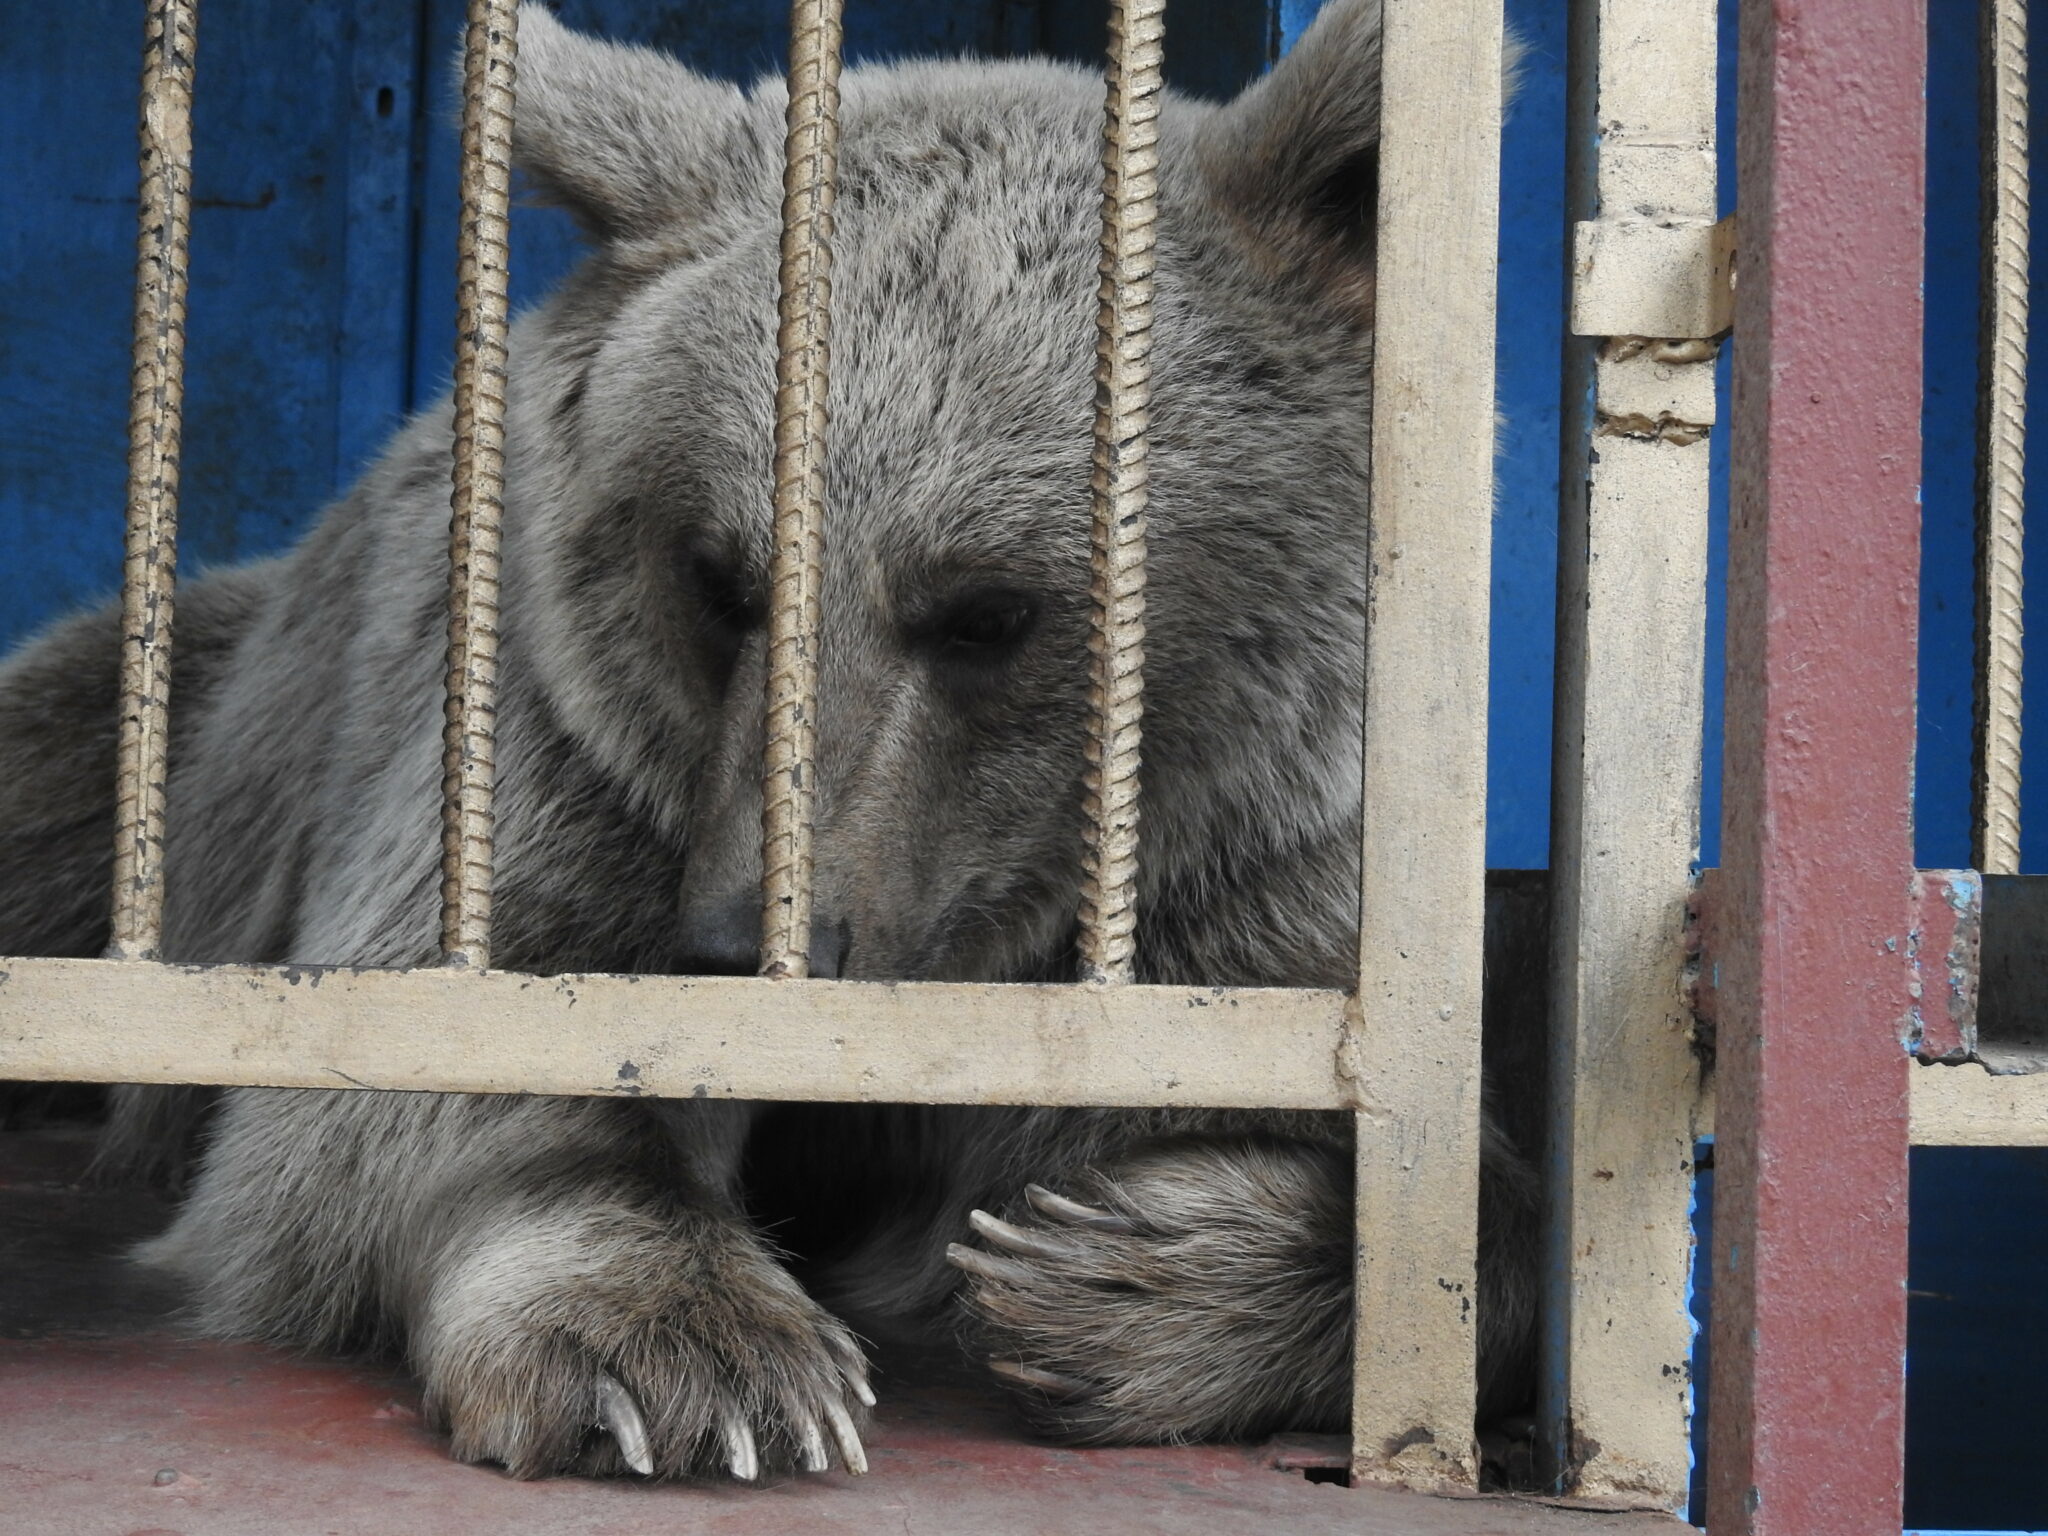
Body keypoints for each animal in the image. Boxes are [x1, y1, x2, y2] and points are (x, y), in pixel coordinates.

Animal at [0, 0, 1537, 1483]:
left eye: (987, 608)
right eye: (720, 576)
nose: (744, 941)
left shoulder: (1245, 872)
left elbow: (1441, 1186)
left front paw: (1106, 1272)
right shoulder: (580, 773)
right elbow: (401, 1104)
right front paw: (692, 1362)